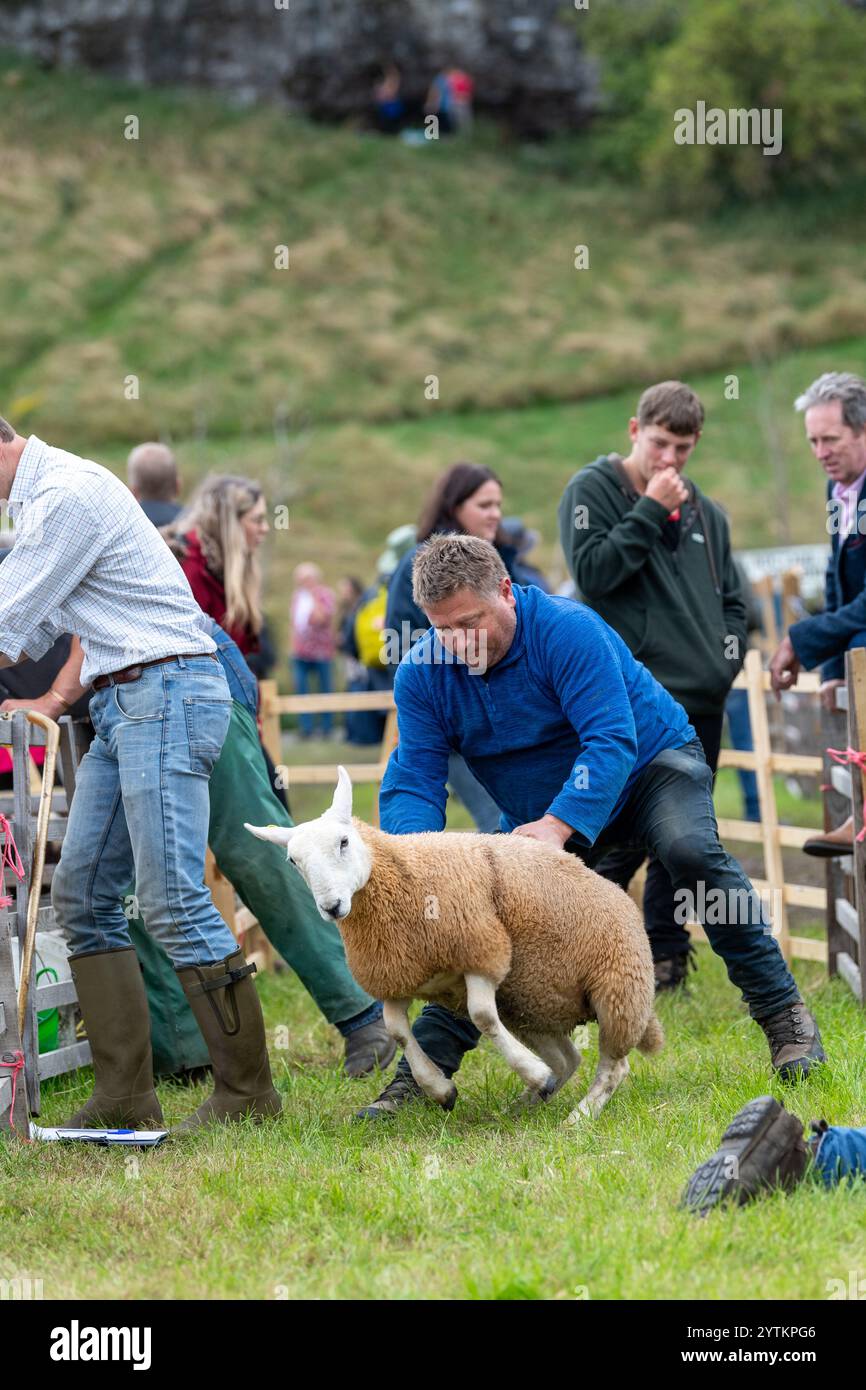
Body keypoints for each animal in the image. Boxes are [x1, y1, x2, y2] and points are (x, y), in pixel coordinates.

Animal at [245, 767, 663, 1120]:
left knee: (615, 1066)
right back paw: (529, 1100)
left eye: (344, 841)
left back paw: (579, 1116)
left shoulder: (480, 952)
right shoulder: (397, 976)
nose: (331, 907)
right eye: (293, 860)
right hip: (532, 1003)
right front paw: (439, 1089)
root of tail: (615, 890)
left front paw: (529, 1071)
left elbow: (481, 1016)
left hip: (617, 988)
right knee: (568, 1059)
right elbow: (398, 1031)